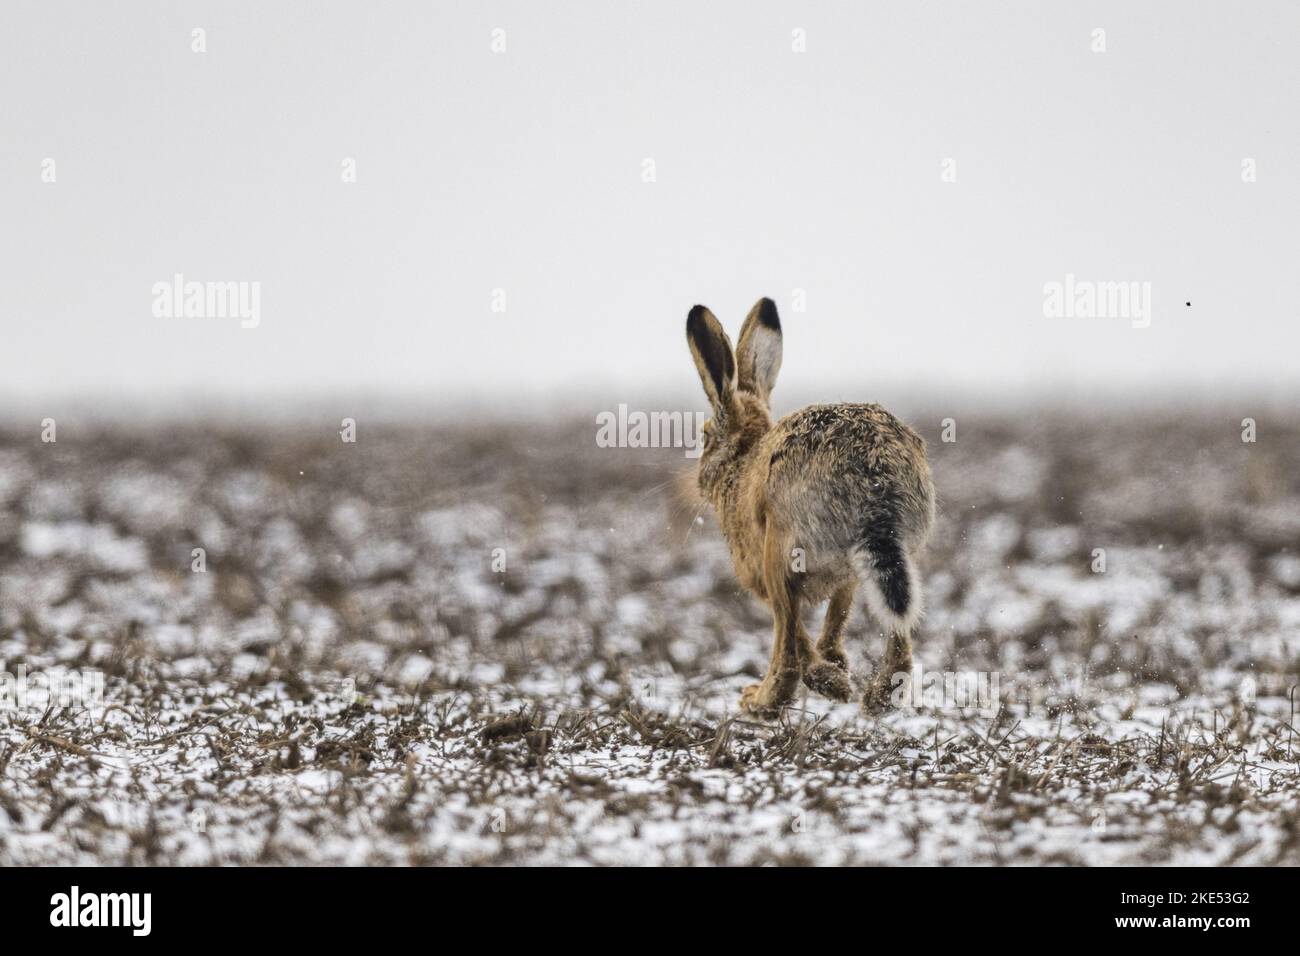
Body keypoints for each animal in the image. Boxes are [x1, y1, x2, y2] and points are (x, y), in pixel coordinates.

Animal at [686, 297, 935, 716]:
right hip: (890, 555)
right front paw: (836, 665)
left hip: (781, 546)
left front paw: (825, 679)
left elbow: (791, 632)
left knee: (787, 642)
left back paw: (769, 698)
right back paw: (876, 697)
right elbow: (833, 618)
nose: (700, 478)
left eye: (705, 437)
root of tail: (873, 485)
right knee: (896, 626)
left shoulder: (763, 571)